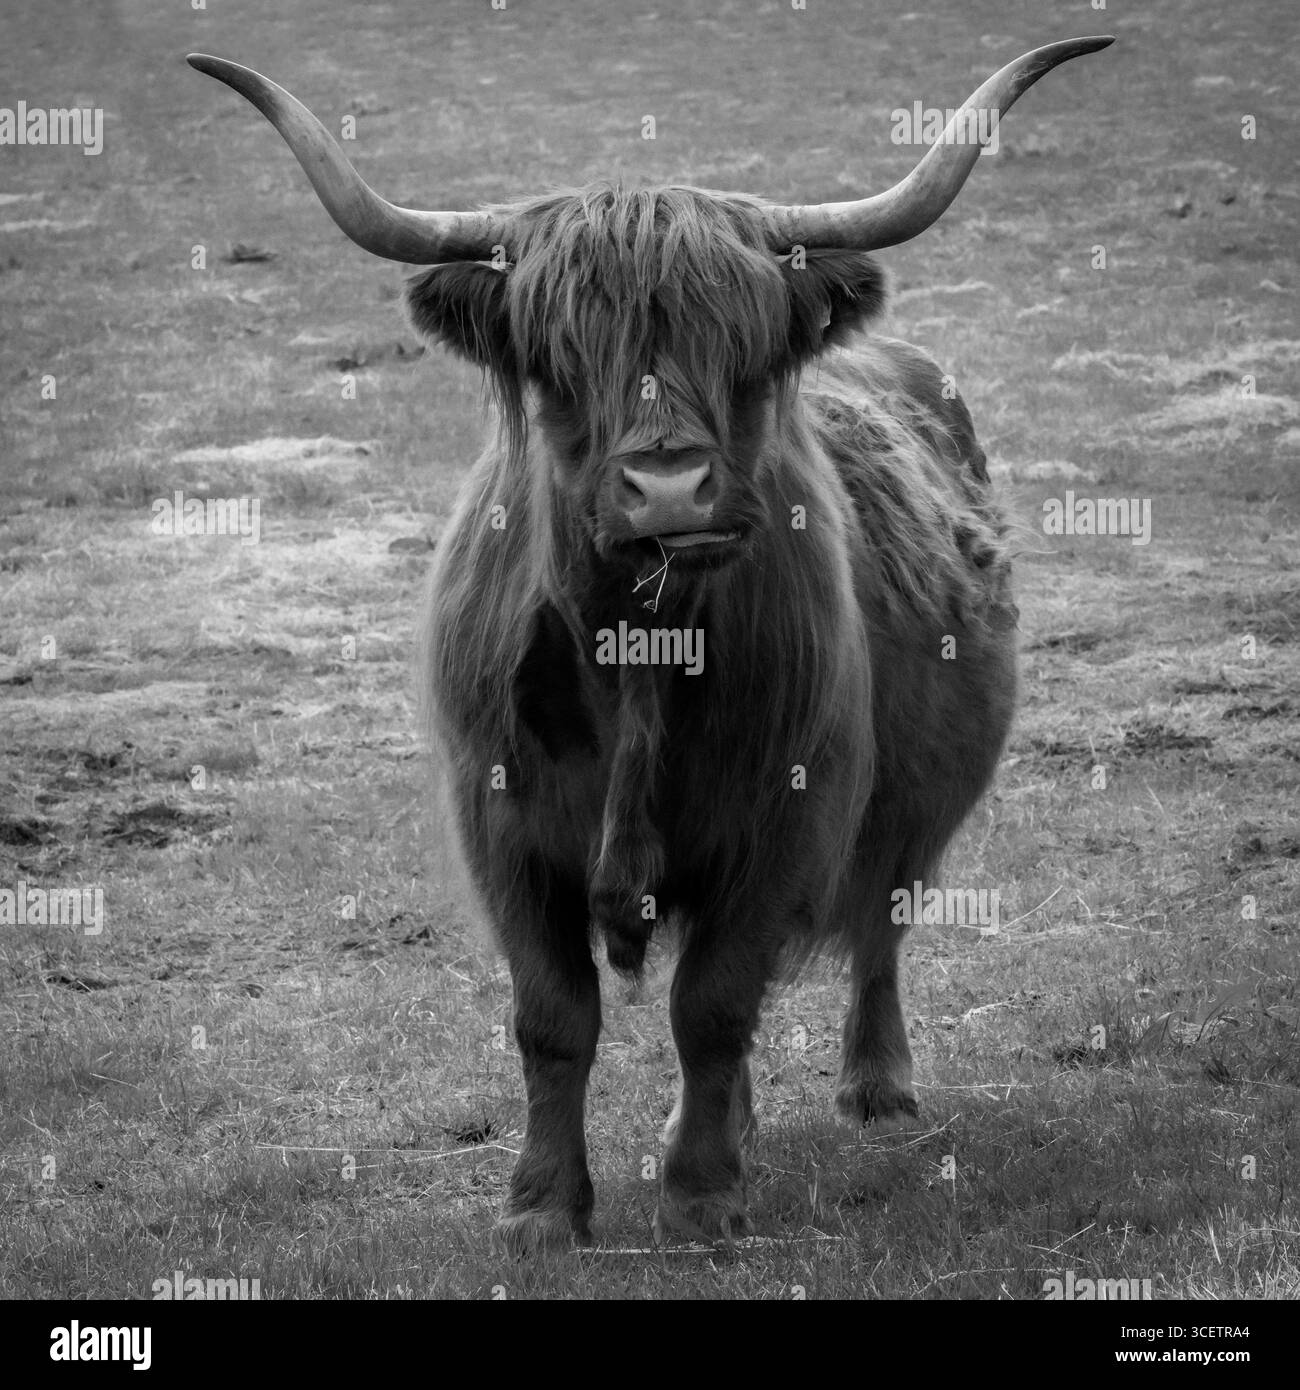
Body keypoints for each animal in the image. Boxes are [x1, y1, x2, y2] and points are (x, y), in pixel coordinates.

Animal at [190, 34, 1113, 1251]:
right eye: (561, 354)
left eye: (744, 343)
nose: (670, 489)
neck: (636, 648)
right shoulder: (503, 828)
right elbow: (554, 1018)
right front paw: (541, 1209)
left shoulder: (781, 817)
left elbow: (712, 1004)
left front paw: (701, 1195)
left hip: (916, 805)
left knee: (877, 930)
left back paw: (875, 1088)